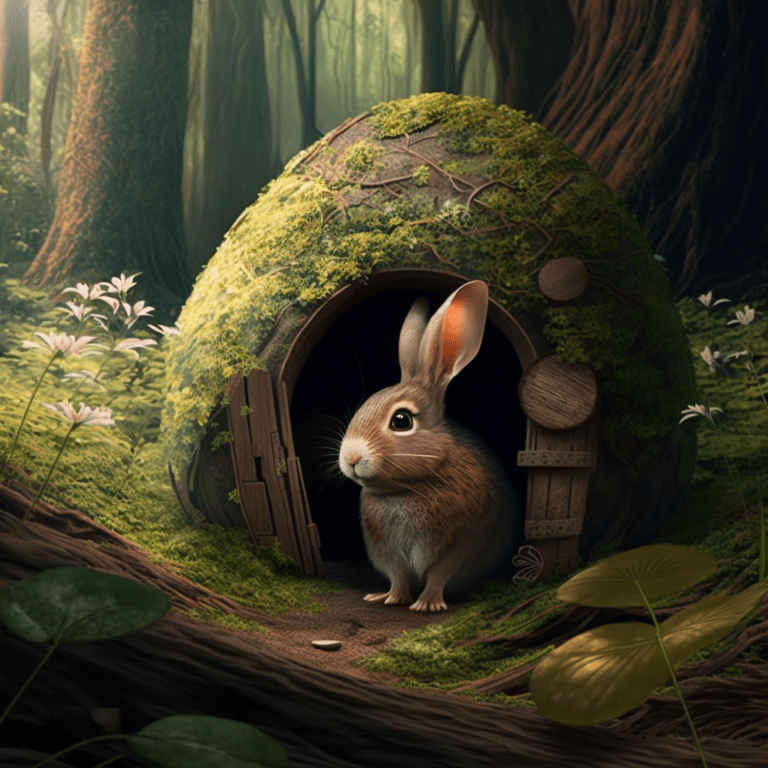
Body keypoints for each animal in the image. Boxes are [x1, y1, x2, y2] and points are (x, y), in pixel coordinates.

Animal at [338, 280, 519, 612]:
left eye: (401, 420)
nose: (351, 458)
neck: (408, 488)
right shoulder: (388, 553)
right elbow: (397, 577)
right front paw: (391, 598)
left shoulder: (459, 545)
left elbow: (439, 575)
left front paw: (427, 605)